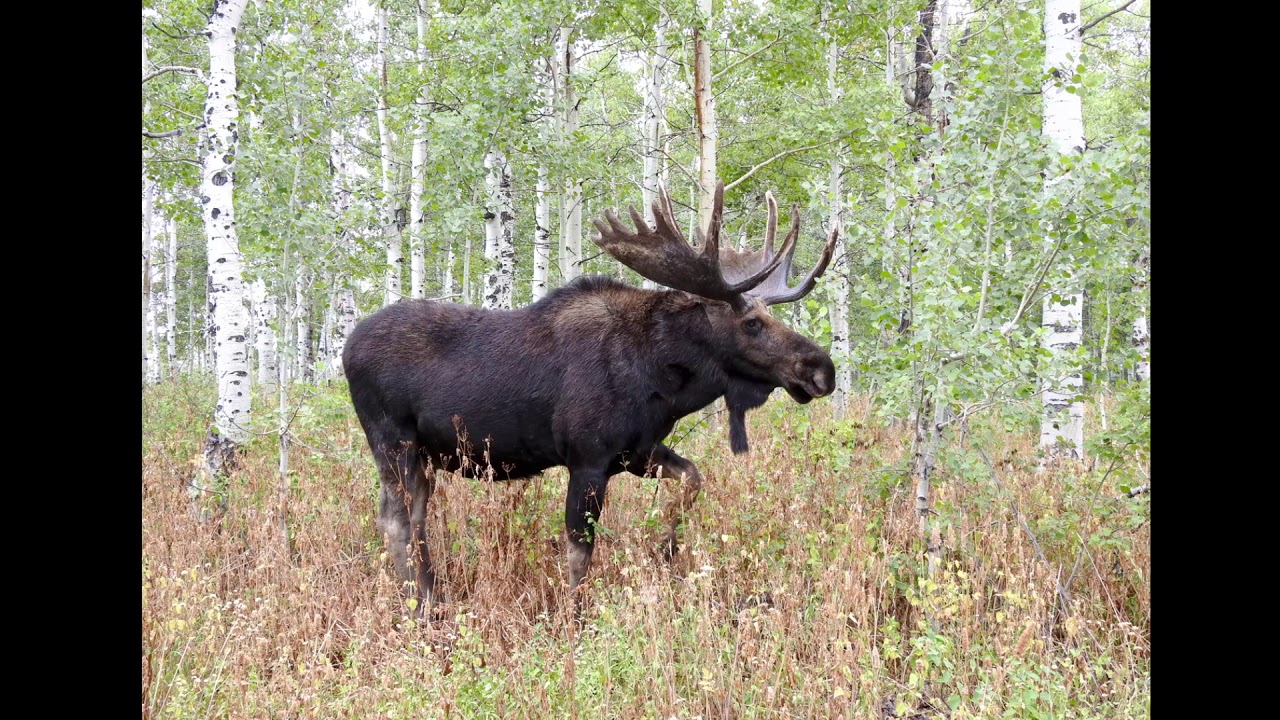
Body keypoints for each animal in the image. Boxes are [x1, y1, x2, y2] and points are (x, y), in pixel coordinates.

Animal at [342, 181, 839, 614]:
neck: (663, 380)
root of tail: (345, 349)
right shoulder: (587, 458)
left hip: (422, 454)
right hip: (392, 439)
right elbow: (579, 552)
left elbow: (693, 478)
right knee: (398, 519)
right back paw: (421, 603)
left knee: (411, 514)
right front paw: (575, 615)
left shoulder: (638, 451)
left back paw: (431, 593)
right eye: (751, 323)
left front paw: (664, 549)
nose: (822, 370)